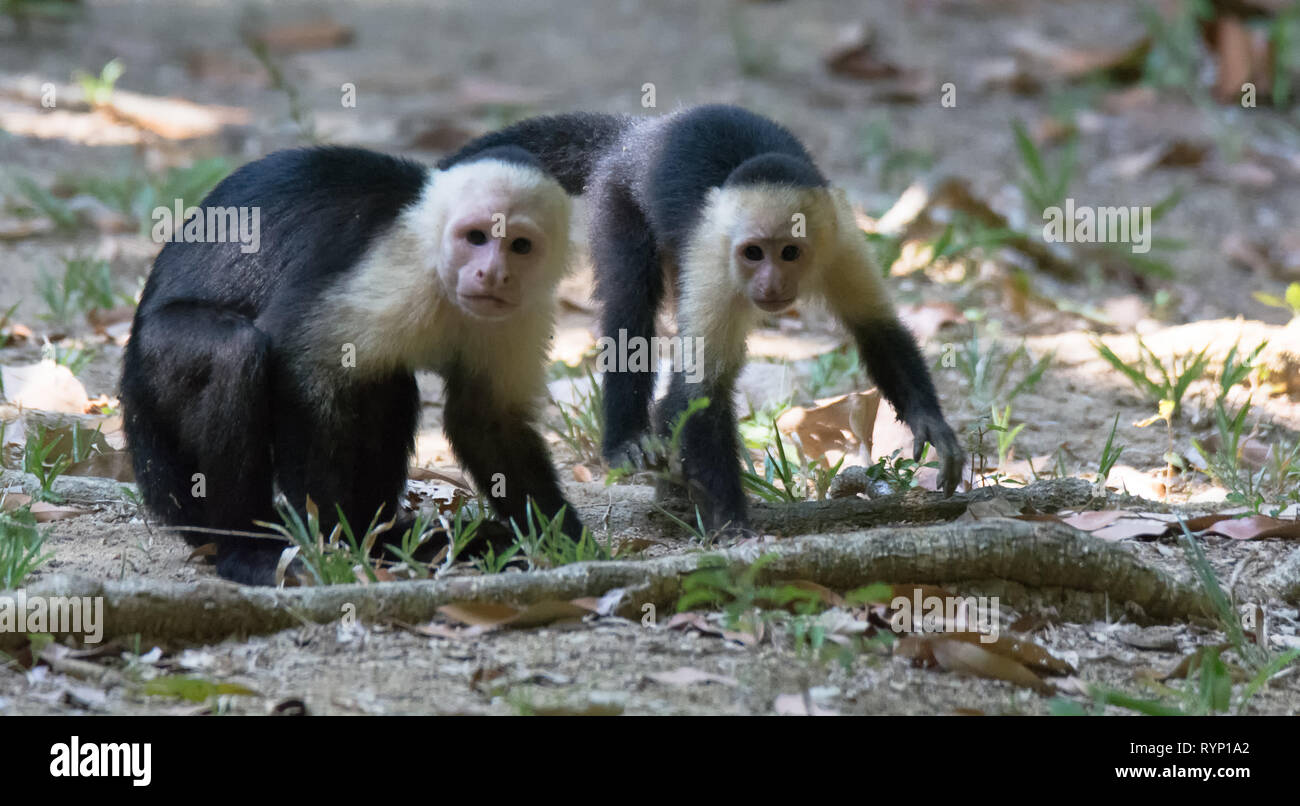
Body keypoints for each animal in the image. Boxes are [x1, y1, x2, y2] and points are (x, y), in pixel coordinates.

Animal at [120, 145, 583, 584]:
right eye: (476, 237)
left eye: (519, 245)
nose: (492, 274)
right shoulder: (393, 267)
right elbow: (301, 360)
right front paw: (333, 537)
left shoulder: (522, 311)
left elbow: (487, 421)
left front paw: (568, 542)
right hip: (155, 364)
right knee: (236, 351)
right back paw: (250, 550)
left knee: (389, 383)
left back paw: (392, 539)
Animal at [440, 105, 962, 534]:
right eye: (753, 253)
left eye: (790, 252)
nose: (770, 285)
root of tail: (642, 133)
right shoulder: (714, 255)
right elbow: (701, 386)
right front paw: (731, 522)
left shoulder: (841, 241)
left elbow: (877, 328)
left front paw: (932, 425)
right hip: (617, 196)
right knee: (630, 306)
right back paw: (627, 441)